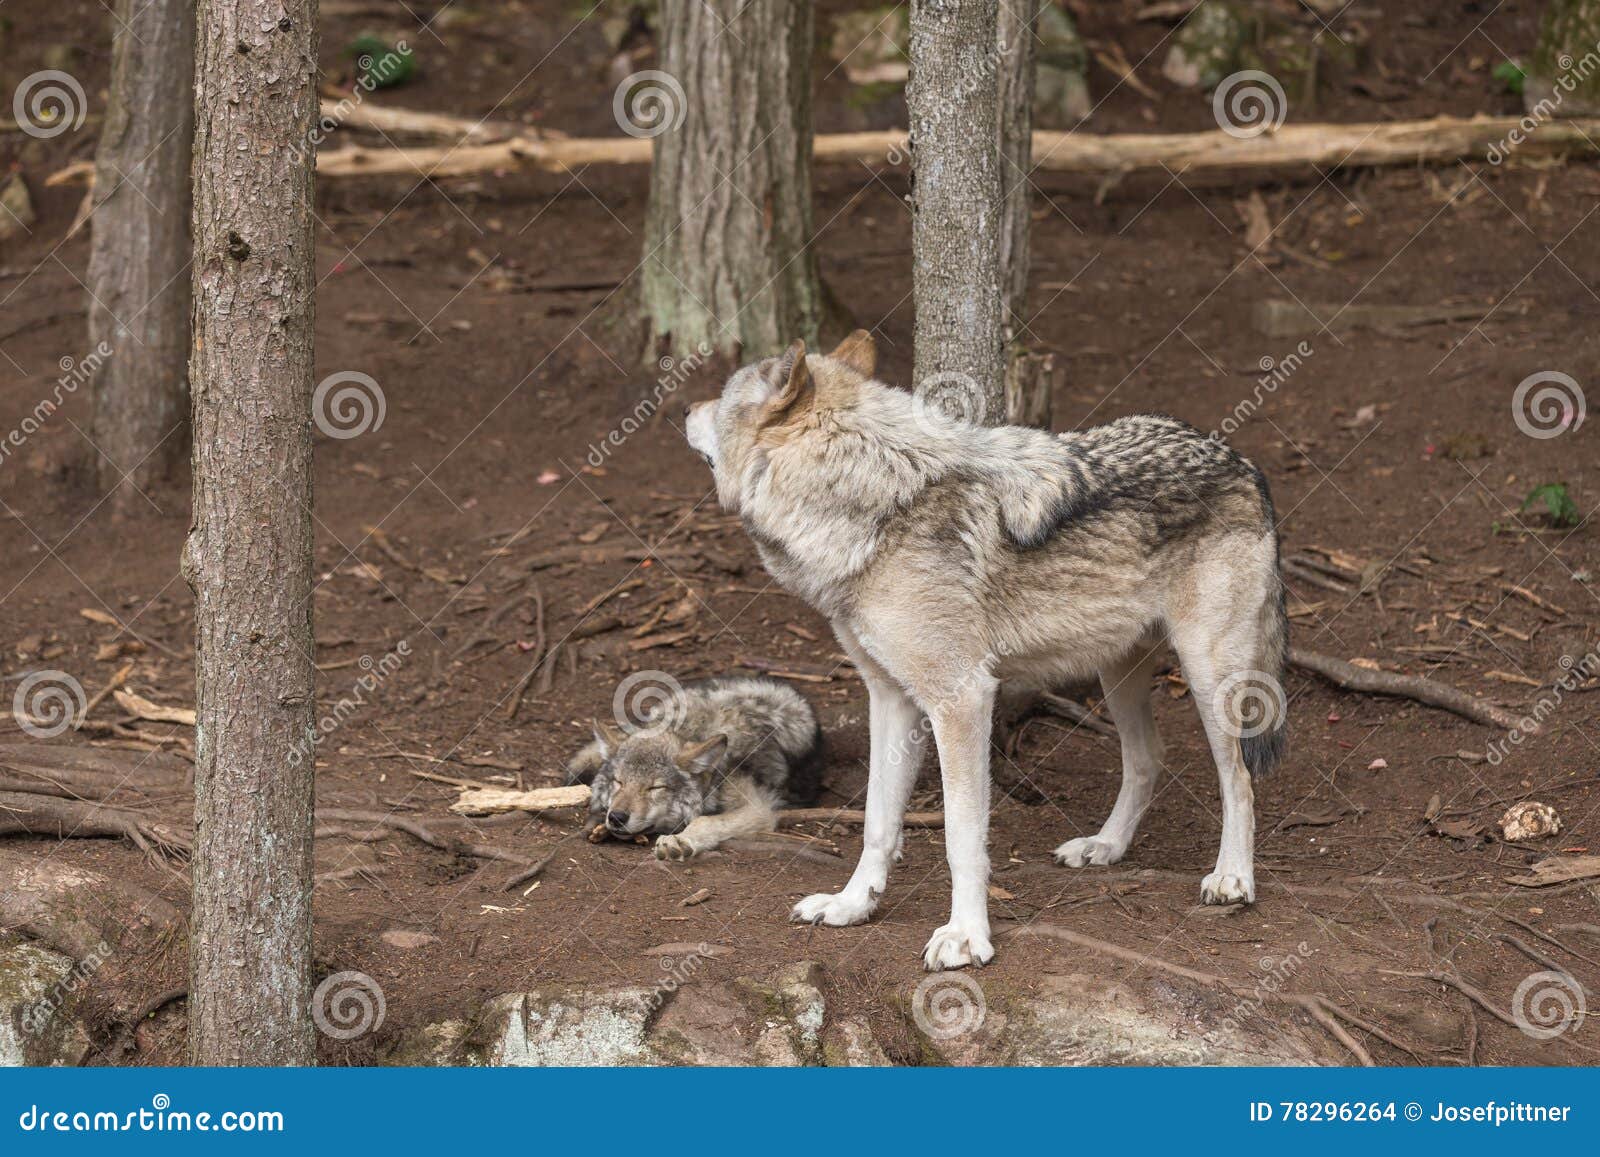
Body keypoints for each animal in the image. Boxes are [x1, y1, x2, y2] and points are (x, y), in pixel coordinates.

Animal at [565, 675, 824, 861]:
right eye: (618, 782)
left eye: (655, 788)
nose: (616, 817)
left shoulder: (757, 808)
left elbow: (705, 820)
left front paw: (679, 840)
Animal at [684, 331, 1287, 970]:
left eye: (721, 397)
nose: (685, 408)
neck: (874, 502)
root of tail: (1242, 460)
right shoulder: (890, 698)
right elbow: (876, 822)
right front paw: (852, 904)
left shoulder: (961, 699)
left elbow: (960, 837)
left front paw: (966, 936)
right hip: (1115, 675)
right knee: (1148, 757)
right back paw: (1105, 846)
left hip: (1210, 678)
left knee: (1239, 778)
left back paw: (1232, 878)